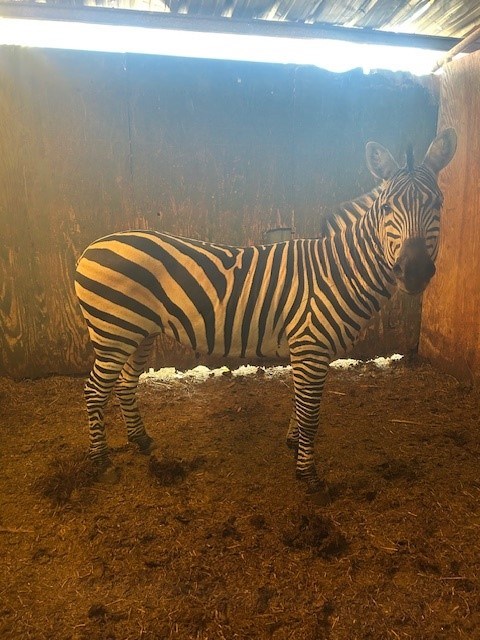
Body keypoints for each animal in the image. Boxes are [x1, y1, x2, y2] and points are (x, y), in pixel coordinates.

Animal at [75, 128, 456, 501]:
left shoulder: (306, 351)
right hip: (114, 333)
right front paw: (309, 477)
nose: (415, 272)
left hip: (139, 333)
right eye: (387, 208)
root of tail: (92, 247)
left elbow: (300, 404)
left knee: (125, 383)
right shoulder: (311, 346)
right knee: (94, 390)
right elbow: (311, 413)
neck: (339, 272)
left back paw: (140, 440)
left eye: (437, 204)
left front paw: (293, 444)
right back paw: (101, 461)